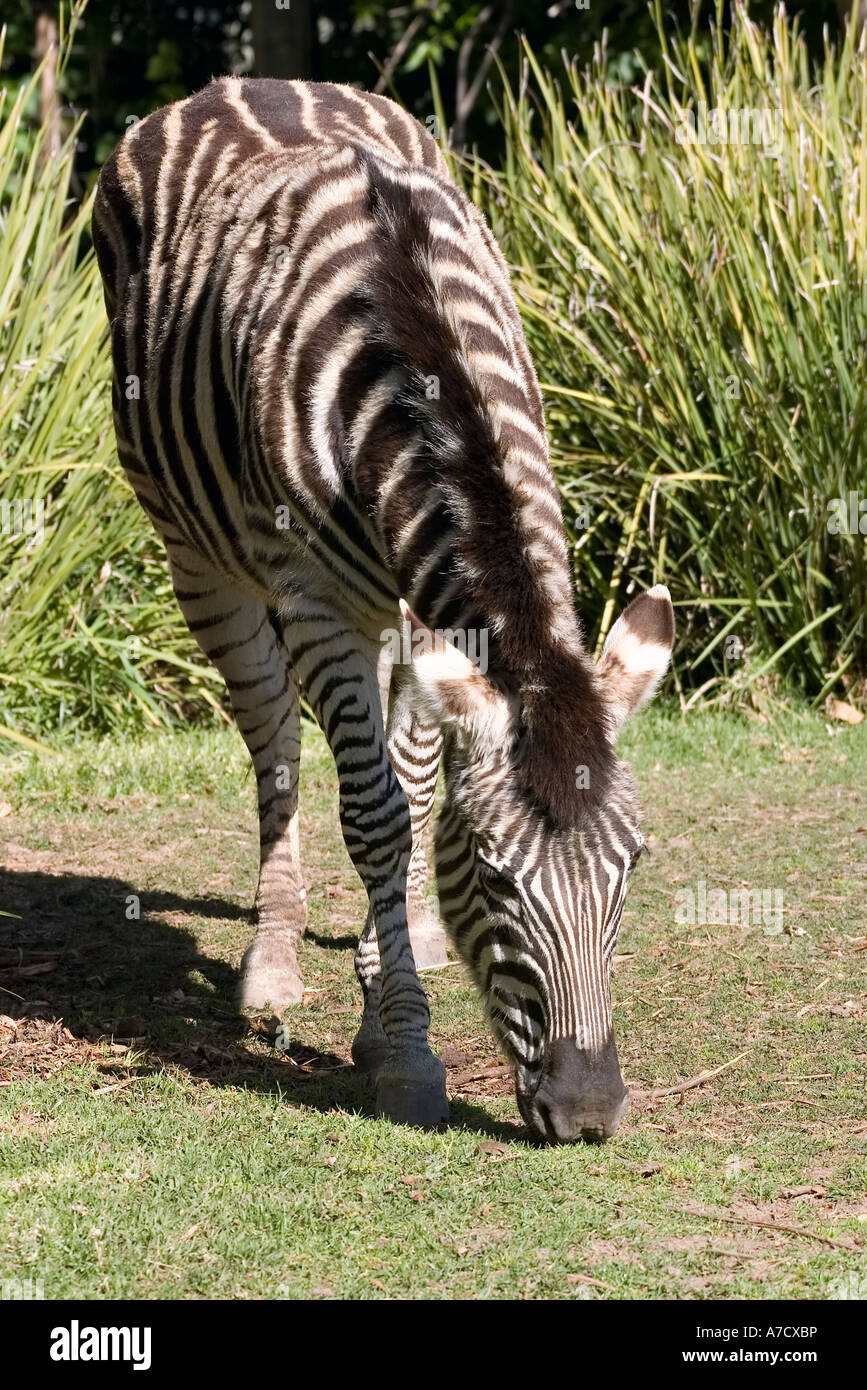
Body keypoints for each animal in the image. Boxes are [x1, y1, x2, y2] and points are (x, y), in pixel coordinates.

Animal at [92, 77, 674, 1143]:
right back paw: (273, 958)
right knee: (273, 743)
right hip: (199, 559)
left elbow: (412, 790)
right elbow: (373, 814)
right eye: (493, 875)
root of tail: (245, 84)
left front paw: (388, 977)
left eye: (633, 865)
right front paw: (402, 1048)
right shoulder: (323, 603)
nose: (587, 1112)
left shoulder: (429, 609)